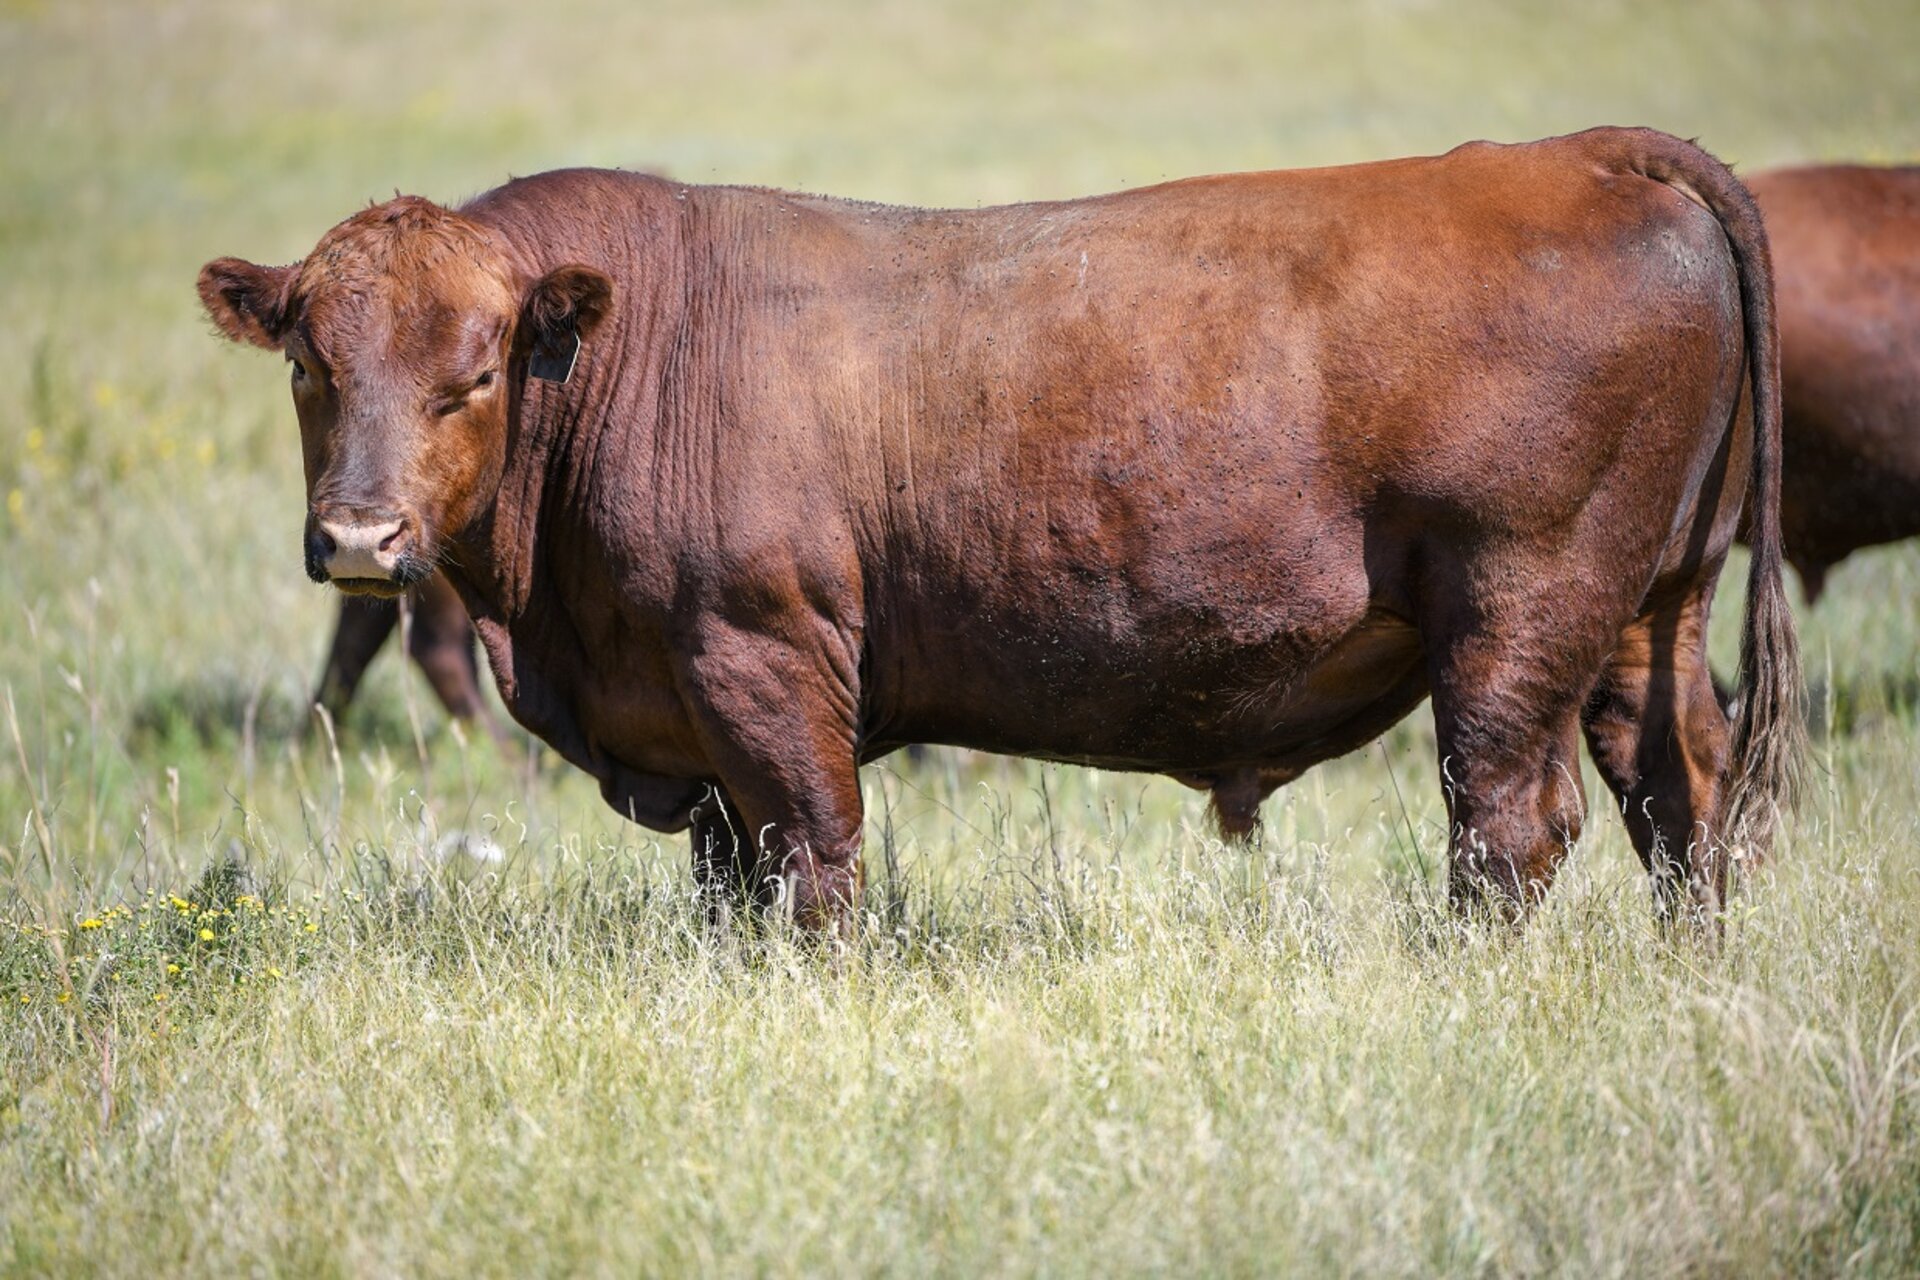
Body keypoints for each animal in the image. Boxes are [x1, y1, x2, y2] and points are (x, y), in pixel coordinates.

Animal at [197, 126, 1800, 930]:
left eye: (474, 374)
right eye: (310, 365)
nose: (360, 539)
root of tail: (1584, 153)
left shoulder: (759, 658)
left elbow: (811, 861)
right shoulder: (690, 717)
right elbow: (730, 882)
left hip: (1520, 608)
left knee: (1513, 820)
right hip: (1651, 605)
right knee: (1685, 791)